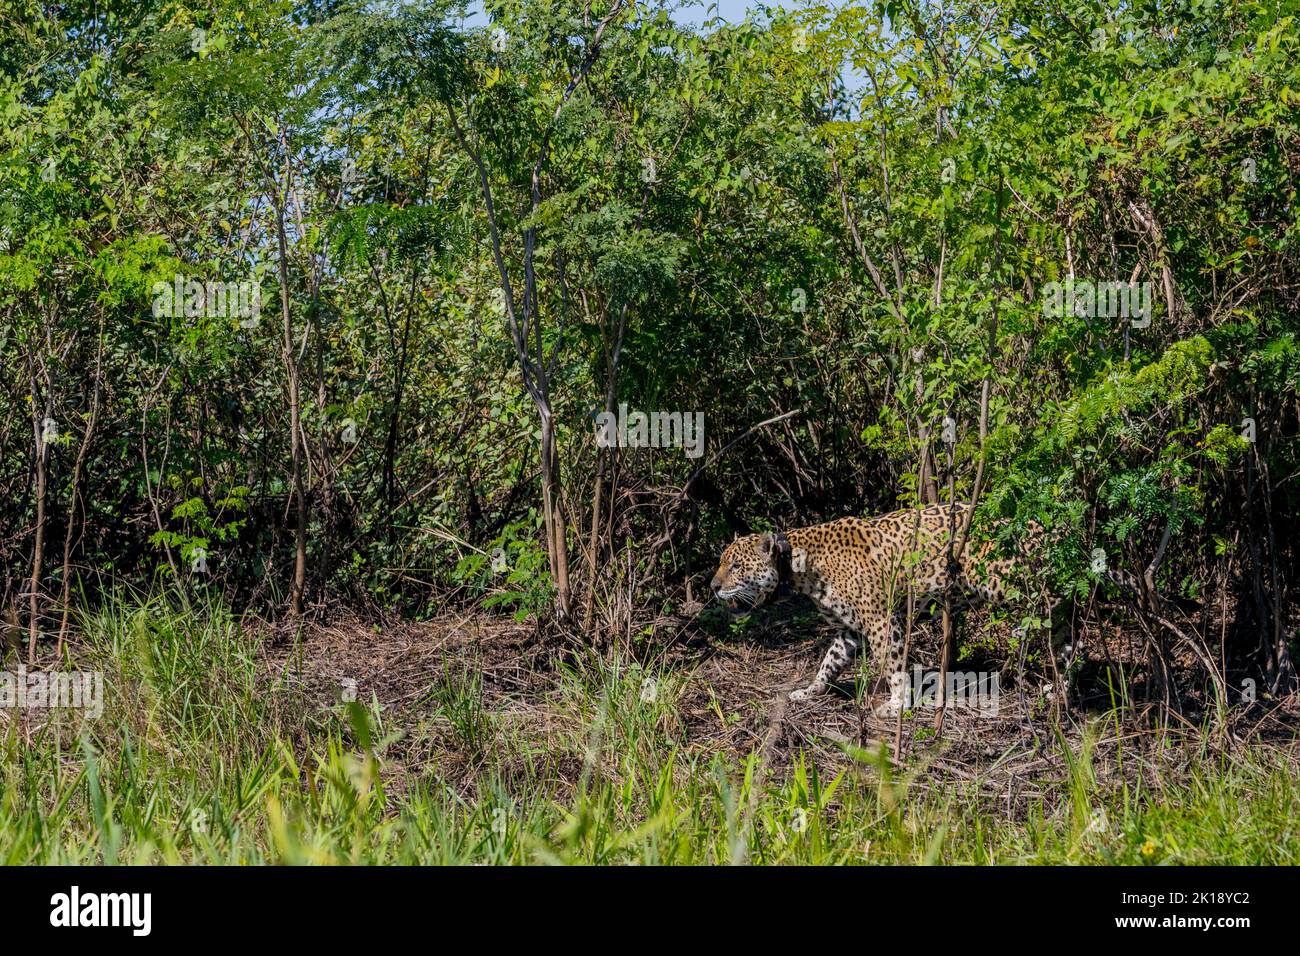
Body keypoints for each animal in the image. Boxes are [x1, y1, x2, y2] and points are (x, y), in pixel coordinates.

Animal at [709, 503, 1104, 705]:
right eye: (722, 562)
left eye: (735, 565)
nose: (713, 587)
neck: (801, 567)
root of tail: (1055, 527)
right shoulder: (847, 630)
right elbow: (828, 664)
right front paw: (809, 691)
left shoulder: (883, 621)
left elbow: (892, 664)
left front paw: (898, 704)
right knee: (1072, 643)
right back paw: (1060, 690)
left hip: (1009, 584)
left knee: (1048, 616)